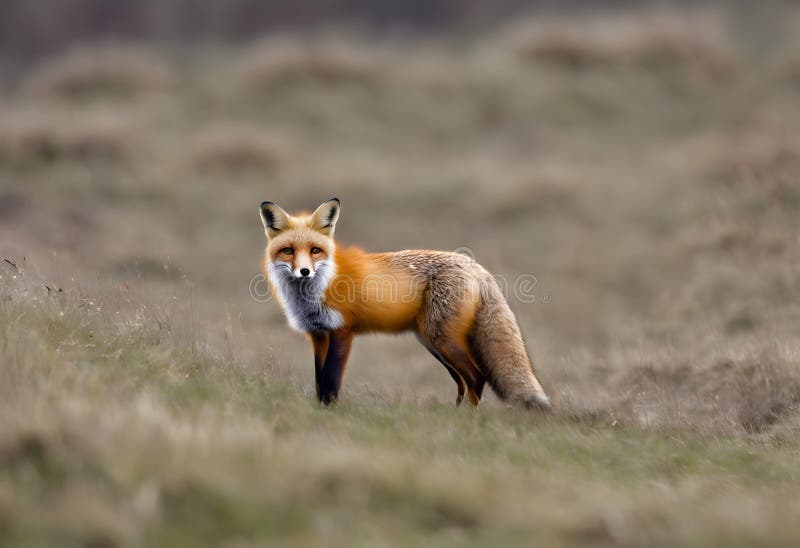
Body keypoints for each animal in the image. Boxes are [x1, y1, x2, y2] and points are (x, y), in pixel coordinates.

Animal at [259, 197, 550, 410]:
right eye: (288, 251)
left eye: (315, 251)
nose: (304, 272)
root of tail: (474, 264)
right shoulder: (318, 335)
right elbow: (320, 381)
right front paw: (320, 411)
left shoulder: (342, 332)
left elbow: (330, 381)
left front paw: (329, 413)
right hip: (432, 342)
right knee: (462, 381)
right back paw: (455, 414)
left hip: (441, 339)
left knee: (477, 377)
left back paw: (467, 420)